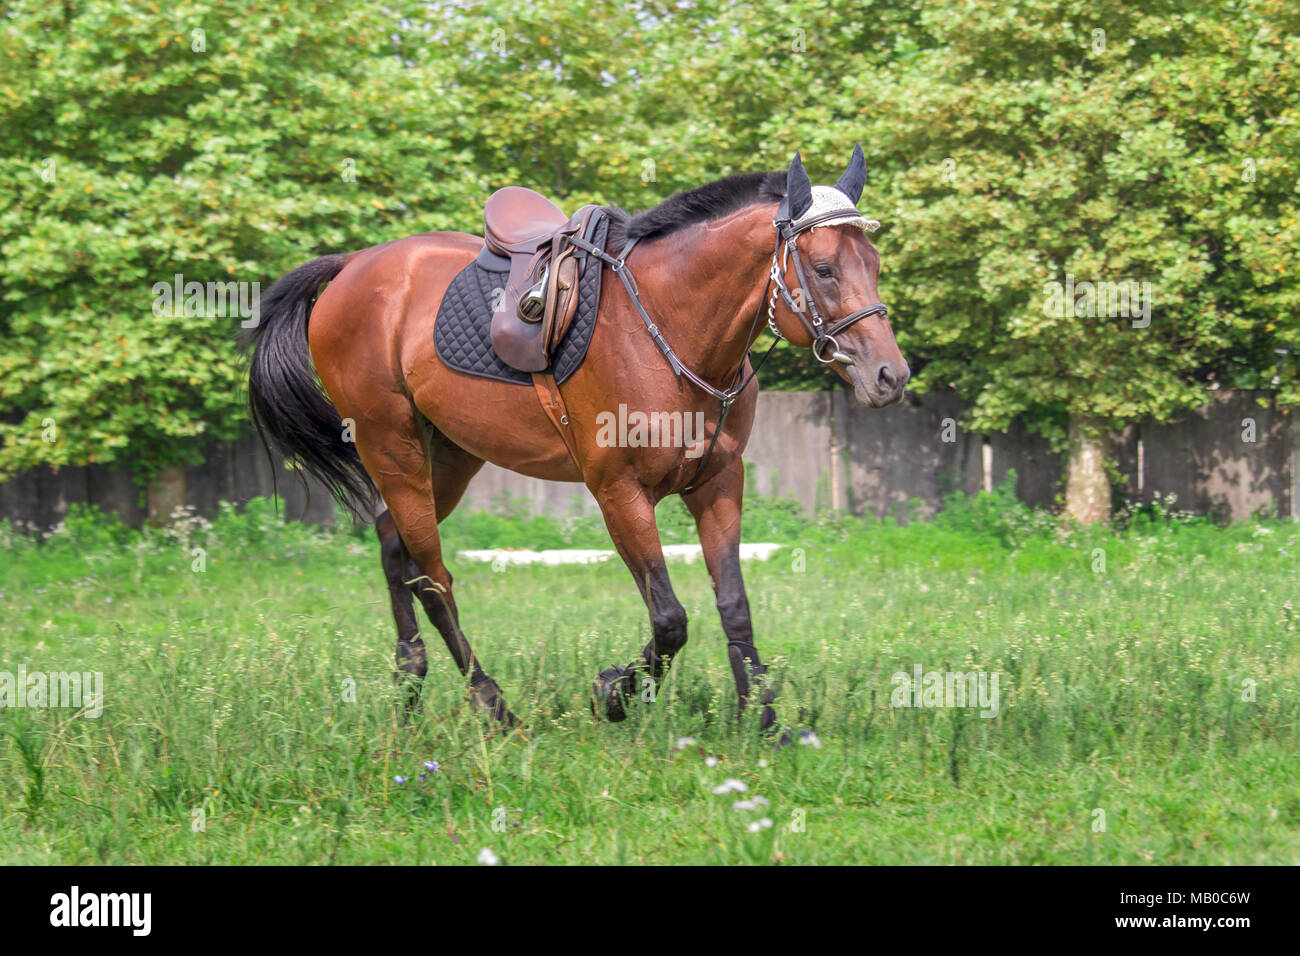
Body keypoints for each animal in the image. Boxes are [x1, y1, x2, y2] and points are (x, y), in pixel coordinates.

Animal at [245, 146, 909, 734]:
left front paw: (762, 722)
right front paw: (612, 693)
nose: (890, 376)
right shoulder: (618, 492)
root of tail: (351, 266)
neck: (667, 327)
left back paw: (410, 682)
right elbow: (671, 618)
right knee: (434, 579)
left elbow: (734, 605)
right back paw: (492, 705)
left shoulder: (719, 483)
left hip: (449, 454)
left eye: (874, 264)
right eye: (823, 269)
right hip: (392, 446)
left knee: (394, 547)